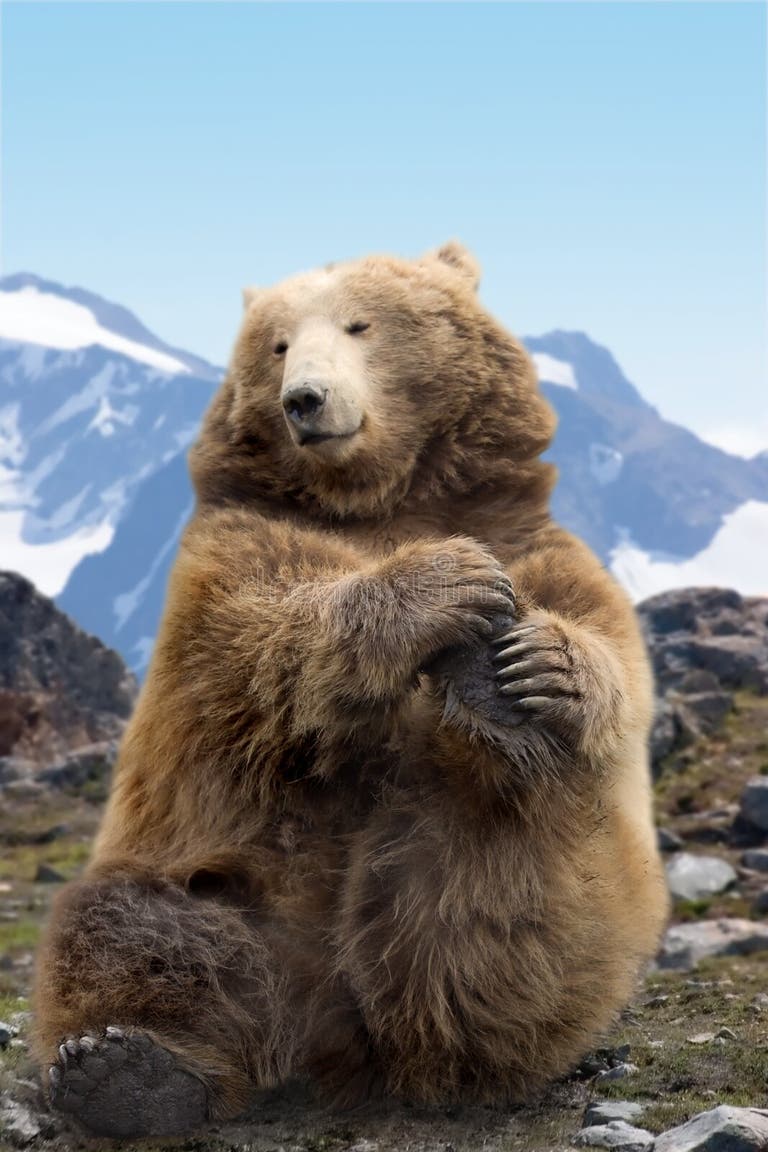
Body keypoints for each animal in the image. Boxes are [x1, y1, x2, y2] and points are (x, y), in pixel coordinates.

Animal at [34, 242, 669, 1139]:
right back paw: (127, 1069)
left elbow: (611, 652)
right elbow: (257, 641)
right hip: (216, 881)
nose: (304, 398)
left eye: (360, 324)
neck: (379, 499)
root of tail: (326, 1044)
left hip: (520, 889)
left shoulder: (533, 542)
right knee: (135, 926)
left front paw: (541, 663)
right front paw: (444, 583)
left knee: (501, 881)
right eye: (276, 345)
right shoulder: (237, 551)